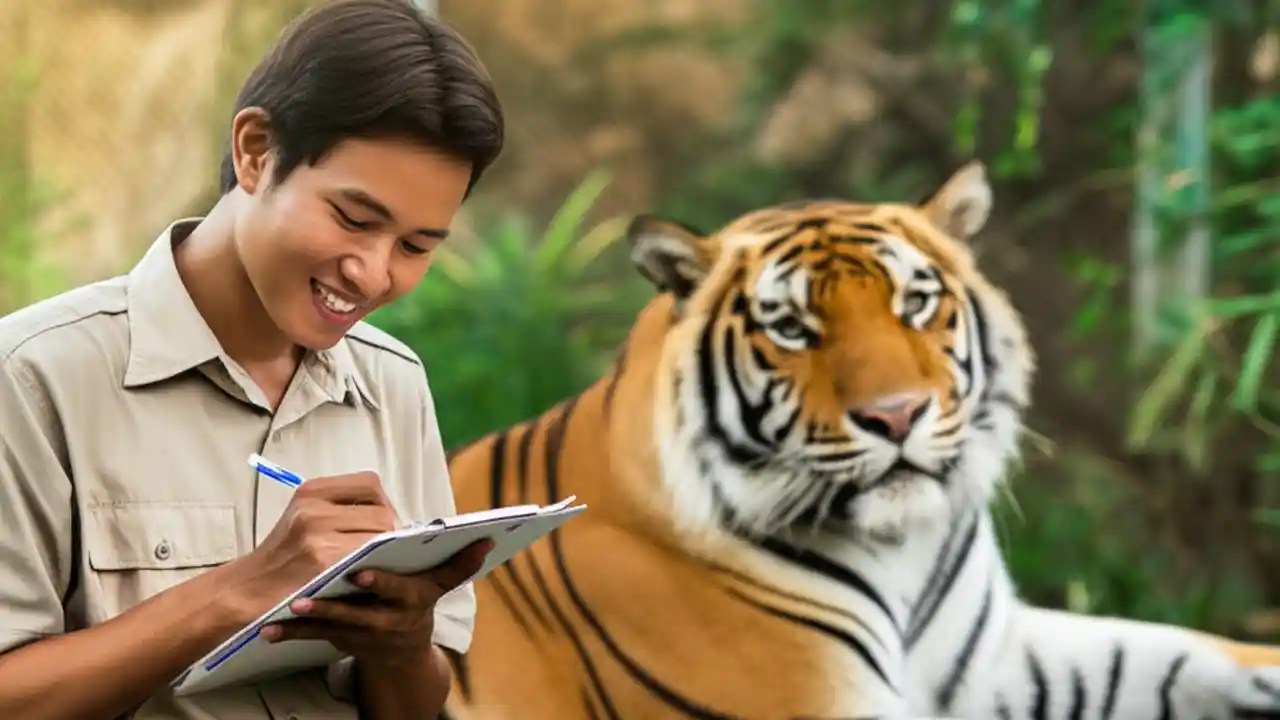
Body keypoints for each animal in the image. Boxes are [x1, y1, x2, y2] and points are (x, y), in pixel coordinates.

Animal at [438, 162, 1280, 719]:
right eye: (791, 328)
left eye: (915, 303)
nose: (897, 416)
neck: (905, 547)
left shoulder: (994, 659)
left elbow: (1179, 650)